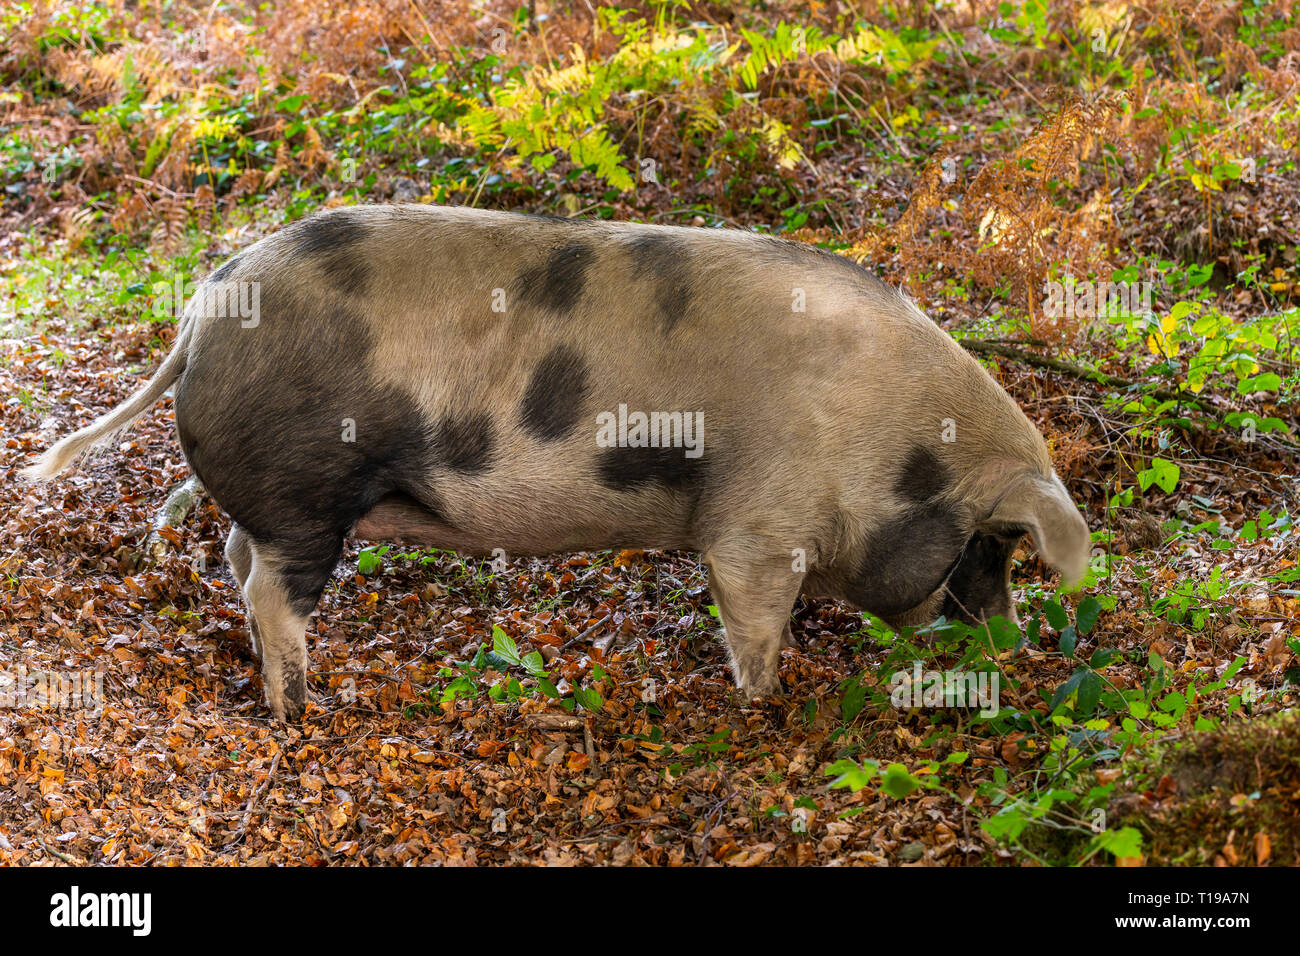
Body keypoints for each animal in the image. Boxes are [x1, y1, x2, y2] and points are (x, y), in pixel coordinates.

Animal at [23, 204, 1091, 720]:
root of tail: (204, 312)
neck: (889, 445)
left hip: (281, 502)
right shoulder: (755, 528)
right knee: (270, 592)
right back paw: (303, 711)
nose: (1013, 643)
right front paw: (765, 706)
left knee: (238, 563)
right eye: (996, 543)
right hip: (306, 493)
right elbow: (752, 625)